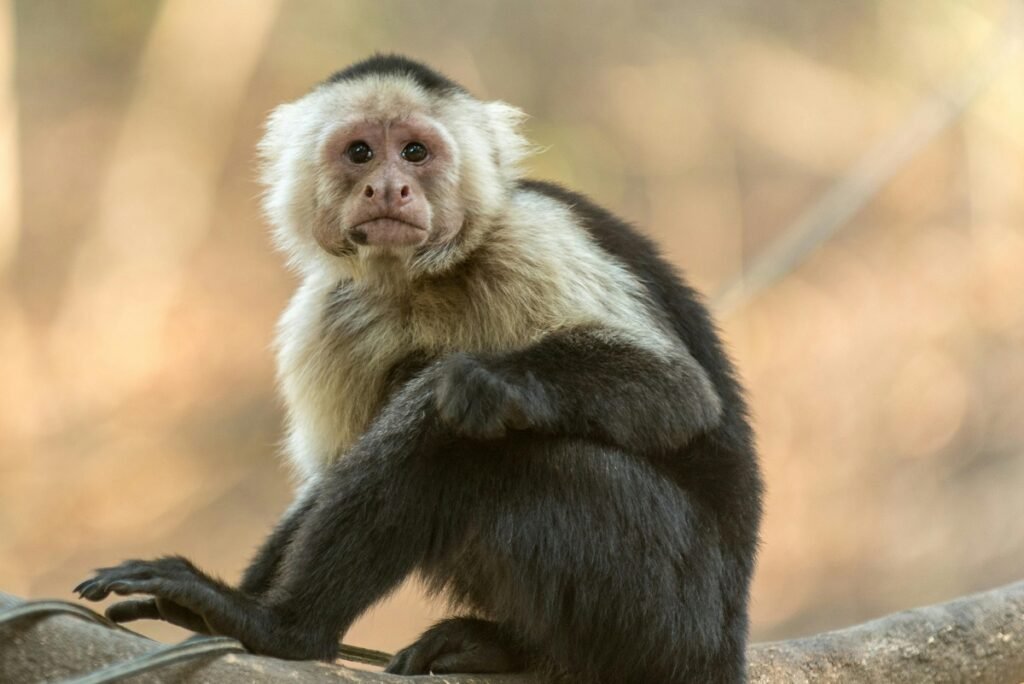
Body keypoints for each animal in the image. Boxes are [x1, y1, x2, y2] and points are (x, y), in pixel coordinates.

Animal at [74, 55, 763, 683]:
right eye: (359, 152)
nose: (387, 188)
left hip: (675, 612)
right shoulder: (327, 314)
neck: (419, 277)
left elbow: (679, 394)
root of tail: (724, 643)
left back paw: (286, 629)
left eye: (414, 152)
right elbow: (329, 475)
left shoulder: (532, 238)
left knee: (488, 440)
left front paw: (488, 381)